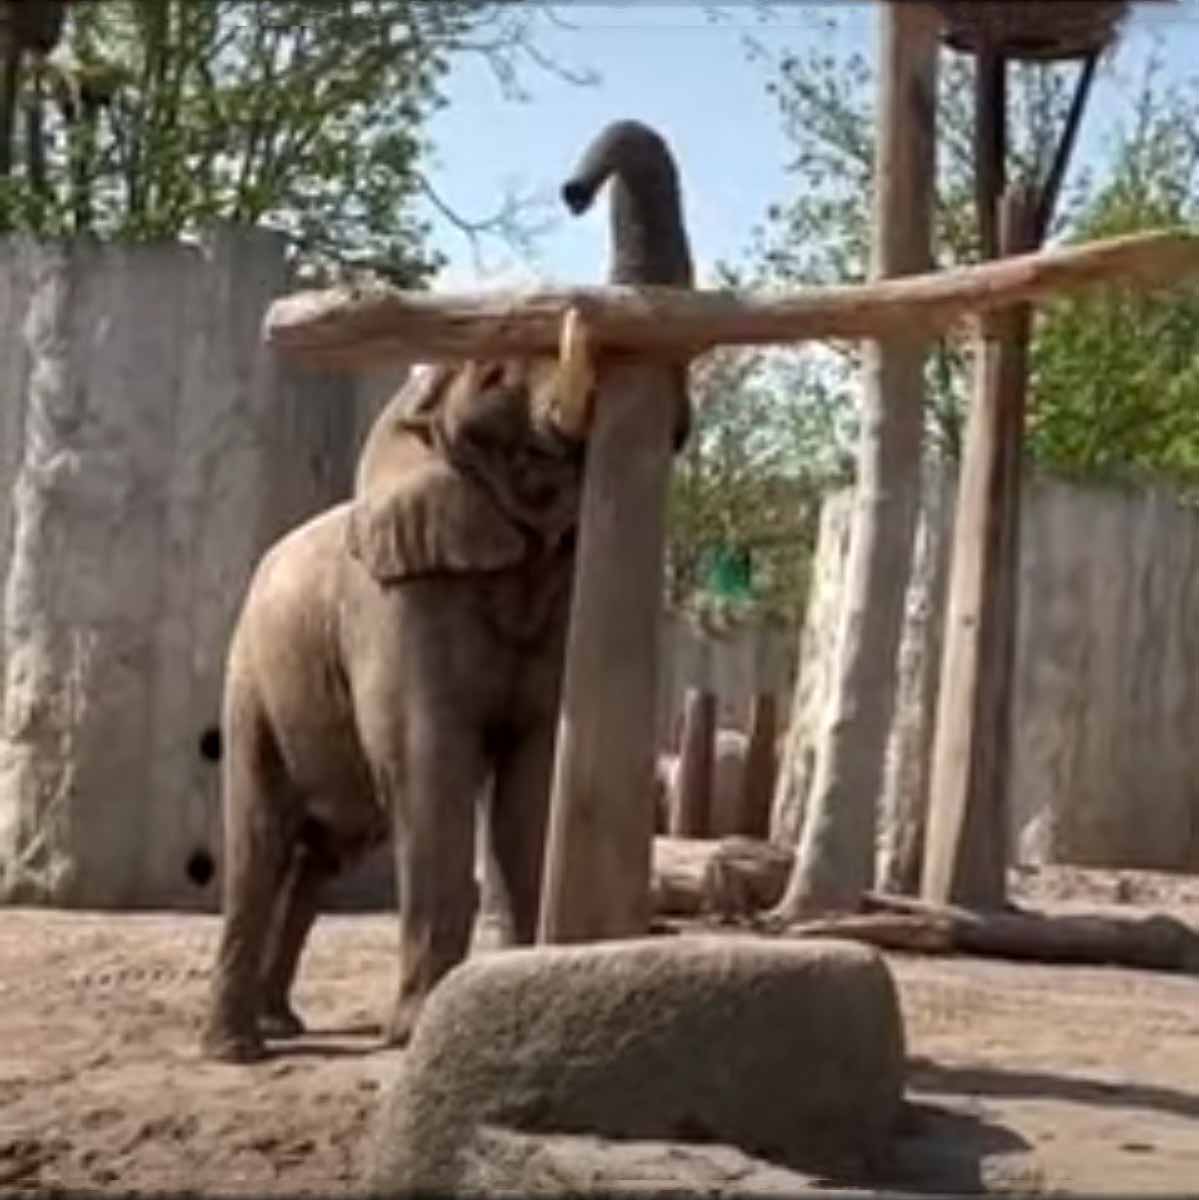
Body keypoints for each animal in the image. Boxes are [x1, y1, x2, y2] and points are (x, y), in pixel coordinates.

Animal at [200, 119, 695, 1063]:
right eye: (495, 376)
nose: (571, 191)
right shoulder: (397, 600)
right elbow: (429, 758)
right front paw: (417, 1030)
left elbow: (533, 773)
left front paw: (528, 1000)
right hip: (248, 679)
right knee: (260, 839)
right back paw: (235, 1049)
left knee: (323, 851)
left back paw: (282, 1024)